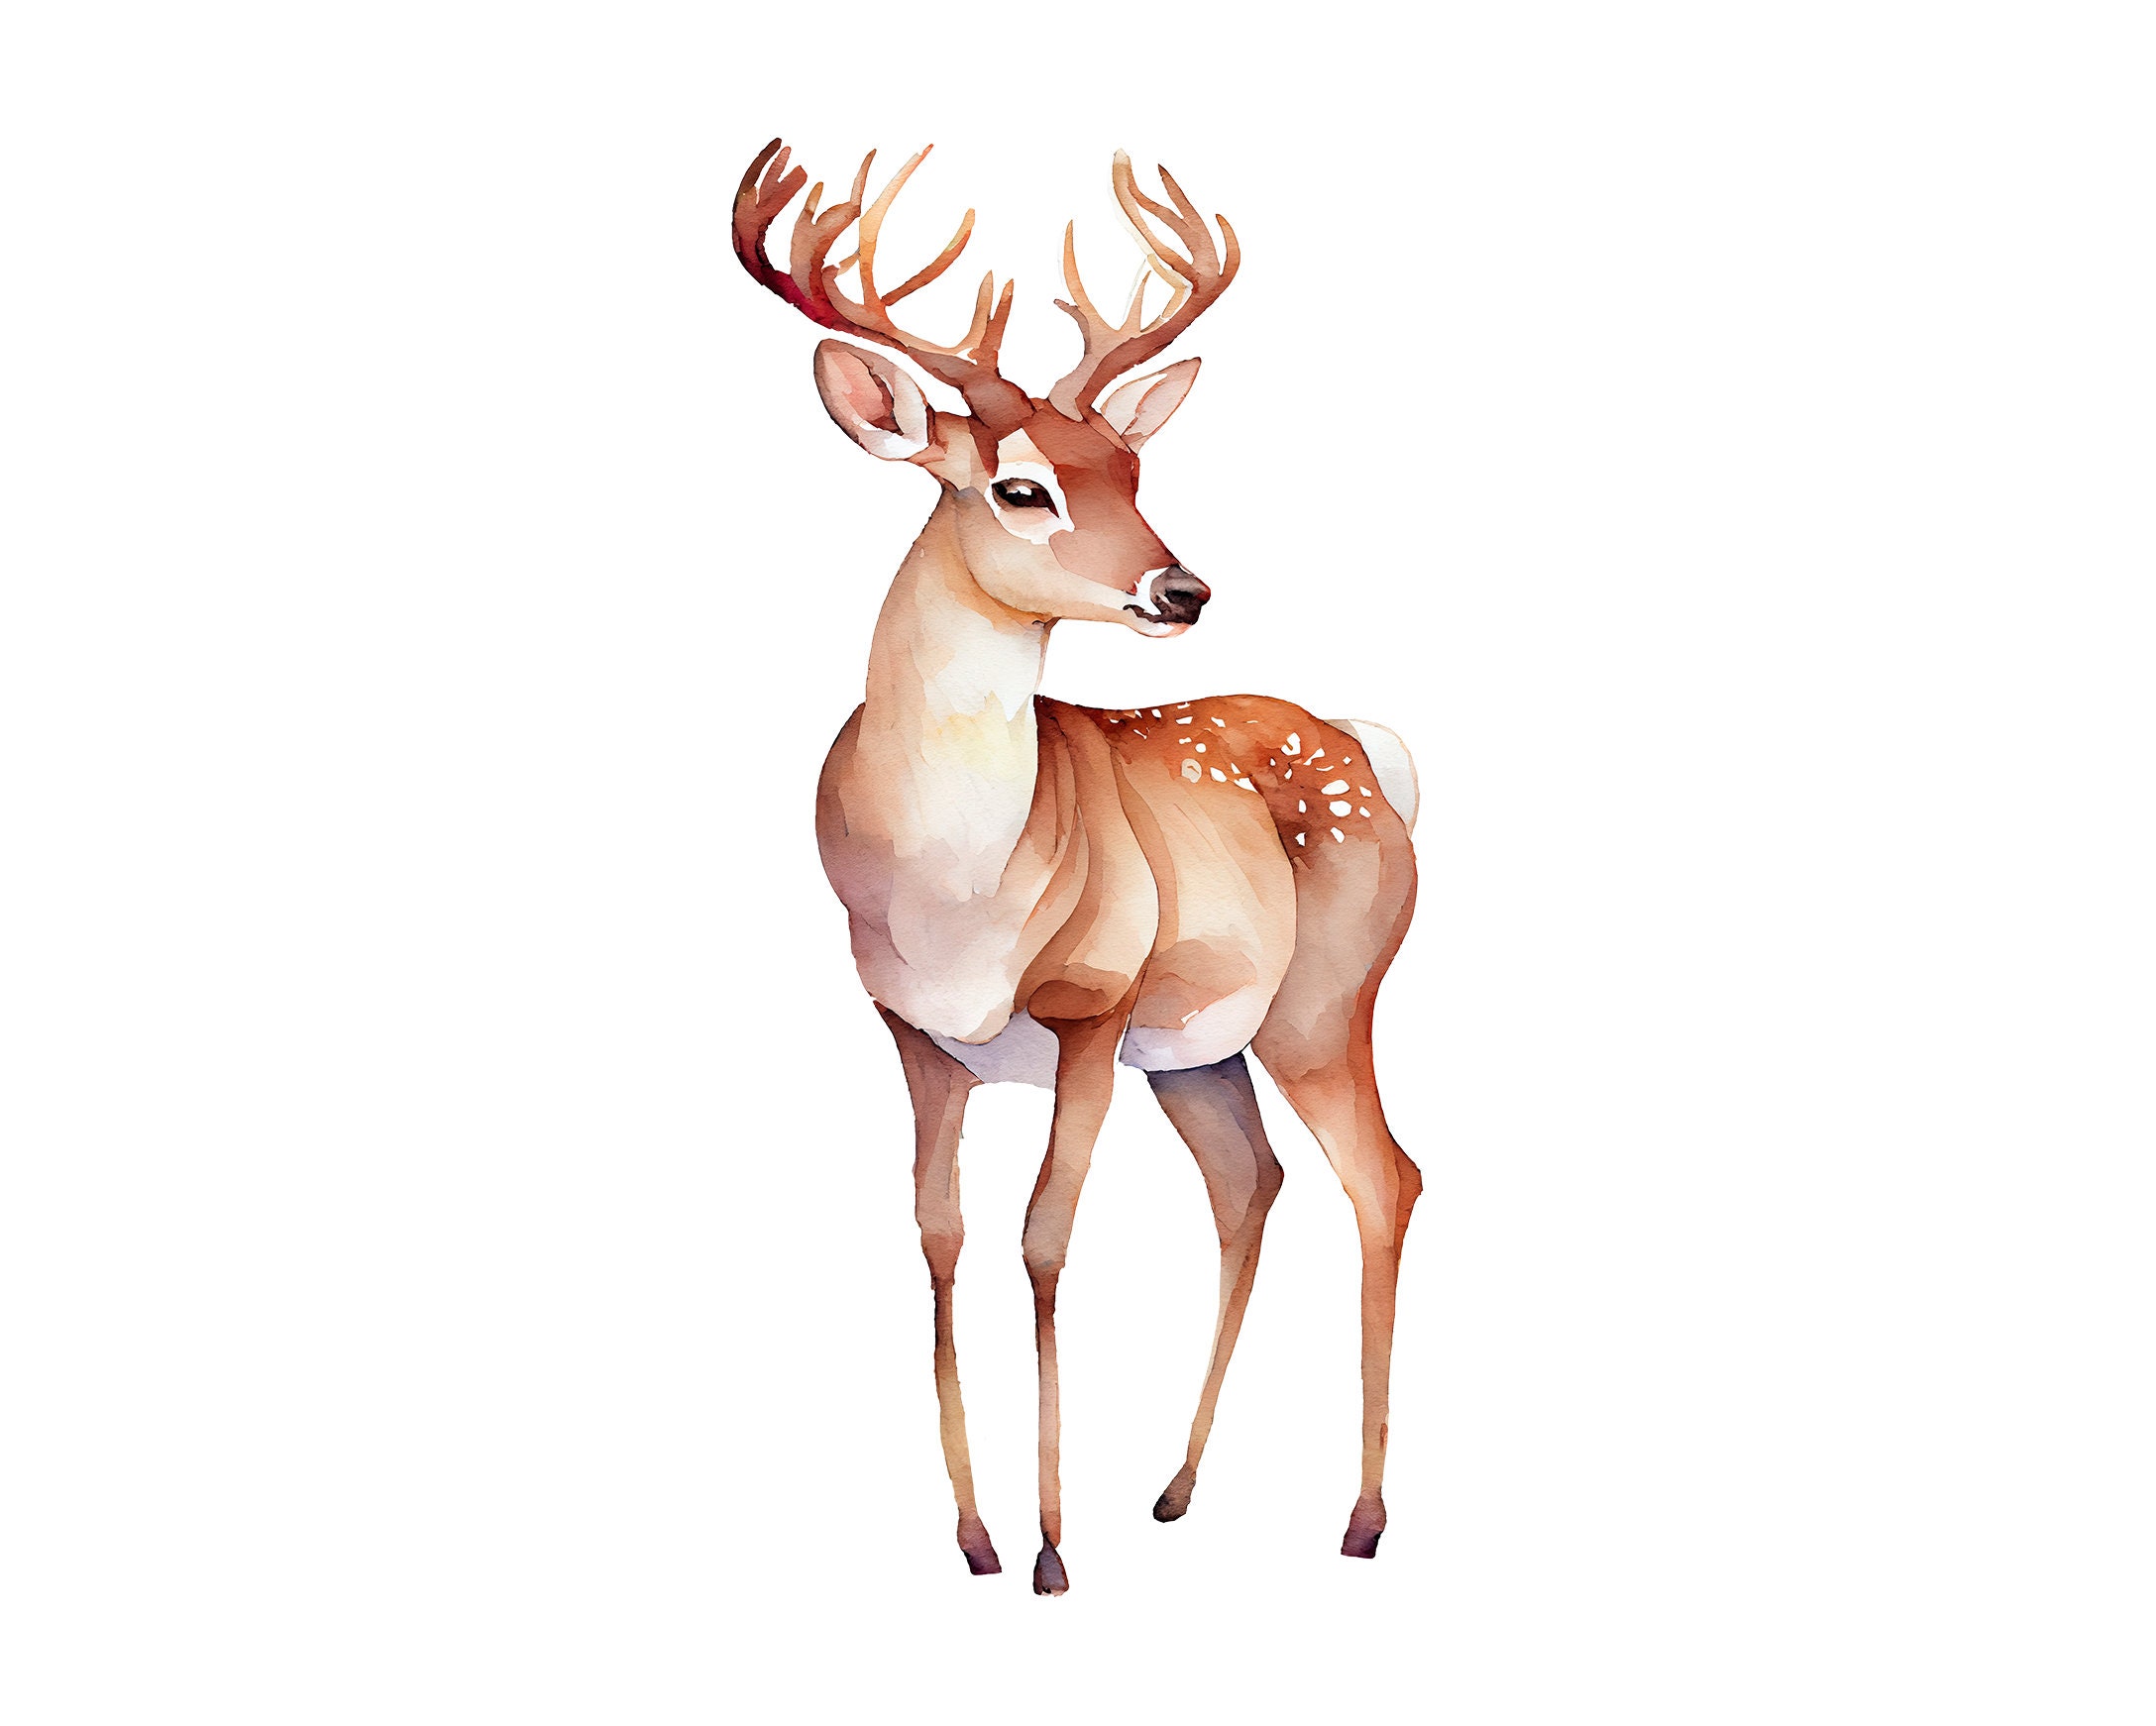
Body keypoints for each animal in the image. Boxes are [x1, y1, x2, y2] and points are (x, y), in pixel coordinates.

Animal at [733, 138, 1424, 1594]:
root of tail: (1373, 750)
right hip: (1205, 1048)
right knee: (1253, 1182)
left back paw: (1360, 1516)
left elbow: (1044, 1240)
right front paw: (978, 1535)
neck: (951, 902)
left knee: (1384, 1177)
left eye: (1134, 472)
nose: (1183, 589)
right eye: (1022, 485)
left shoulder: (1093, 1009)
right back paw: (1173, 1488)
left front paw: (1055, 1543)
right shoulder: (913, 1035)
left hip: (1325, 998)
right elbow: (938, 1234)